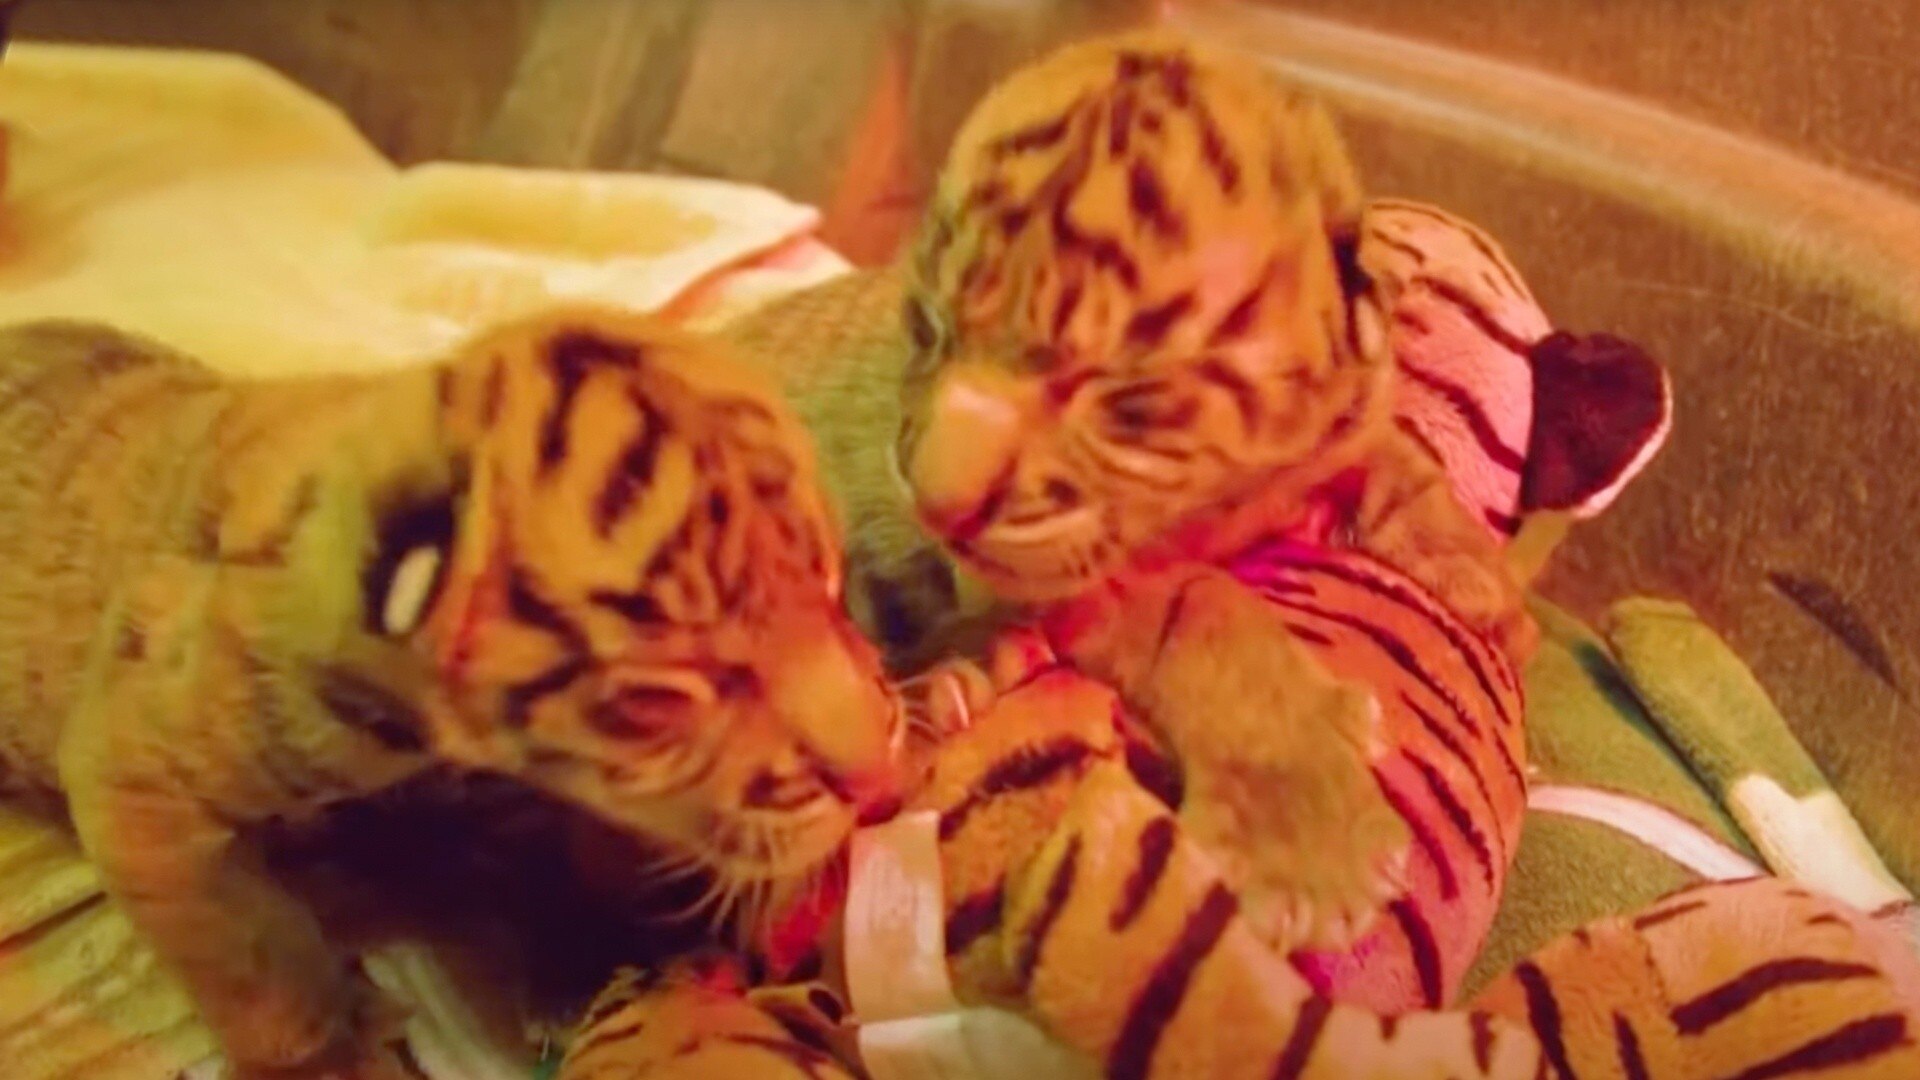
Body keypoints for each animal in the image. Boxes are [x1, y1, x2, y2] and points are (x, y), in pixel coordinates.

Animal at [0, 308, 903, 1079]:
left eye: (829, 581)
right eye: (657, 702)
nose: (876, 782)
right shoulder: (139, 770)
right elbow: (256, 953)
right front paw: (325, 1059)